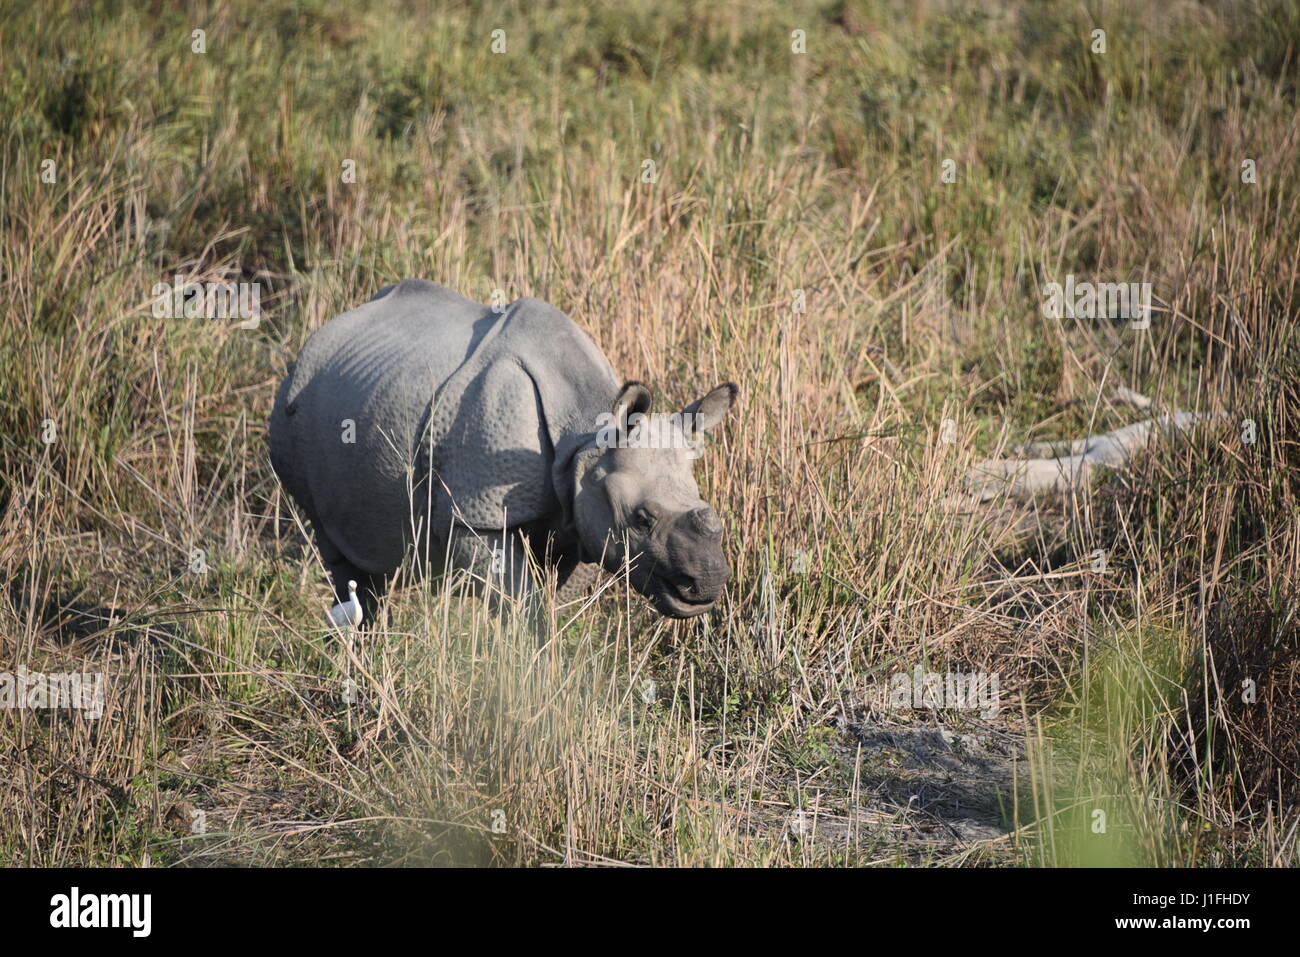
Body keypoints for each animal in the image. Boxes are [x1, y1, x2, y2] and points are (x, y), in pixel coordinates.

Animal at [269, 279, 737, 623]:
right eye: (641, 519)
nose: (707, 582)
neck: (584, 437)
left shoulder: (584, 514)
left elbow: (556, 601)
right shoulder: (473, 516)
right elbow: (523, 605)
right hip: (292, 411)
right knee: (338, 555)